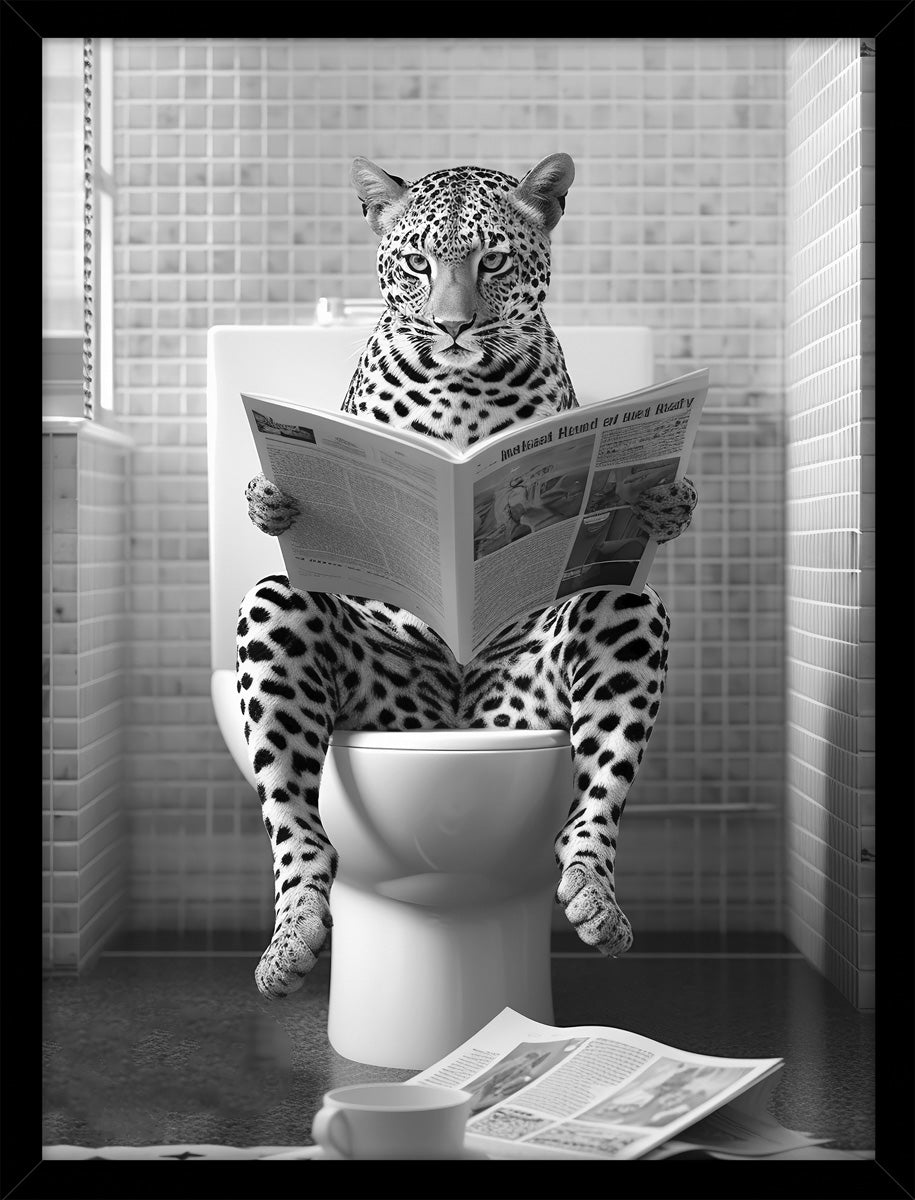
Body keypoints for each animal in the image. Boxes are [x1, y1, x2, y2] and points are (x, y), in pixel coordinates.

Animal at [238, 154, 699, 998]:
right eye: (418, 262)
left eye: (492, 261)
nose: (452, 325)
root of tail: (451, 716)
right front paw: (272, 501)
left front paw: (663, 501)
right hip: (310, 644)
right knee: (299, 824)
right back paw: (291, 938)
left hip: (572, 657)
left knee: (591, 794)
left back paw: (594, 895)